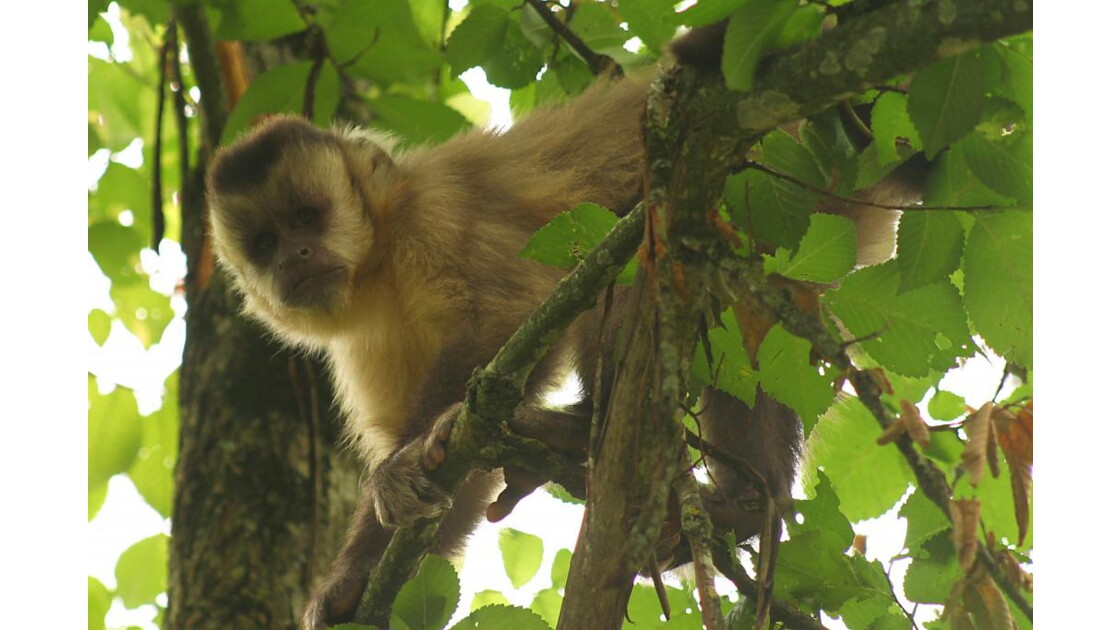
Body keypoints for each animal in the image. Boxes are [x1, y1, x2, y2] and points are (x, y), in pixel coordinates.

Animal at [206, 46, 928, 630]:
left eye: (308, 217)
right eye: (265, 242)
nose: (295, 257)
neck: (377, 265)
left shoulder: (433, 210)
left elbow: (503, 323)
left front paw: (412, 458)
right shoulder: (360, 340)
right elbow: (452, 491)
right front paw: (352, 588)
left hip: (771, 184)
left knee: (643, 271)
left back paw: (589, 440)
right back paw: (750, 504)